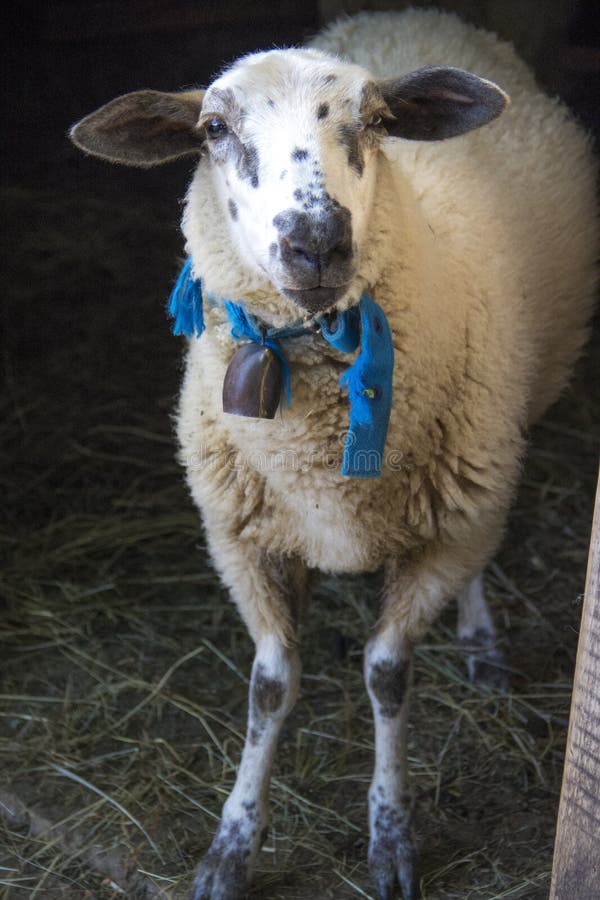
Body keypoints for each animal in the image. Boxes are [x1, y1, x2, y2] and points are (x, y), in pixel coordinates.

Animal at [69, 9, 598, 900]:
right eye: (214, 129)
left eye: (378, 121)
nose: (316, 241)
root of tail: (411, 14)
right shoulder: (242, 543)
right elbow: (270, 685)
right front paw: (230, 847)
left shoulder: (447, 530)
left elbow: (387, 675)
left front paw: (390, 838)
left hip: (491, 457)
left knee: (482, 549)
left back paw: (482, 644)